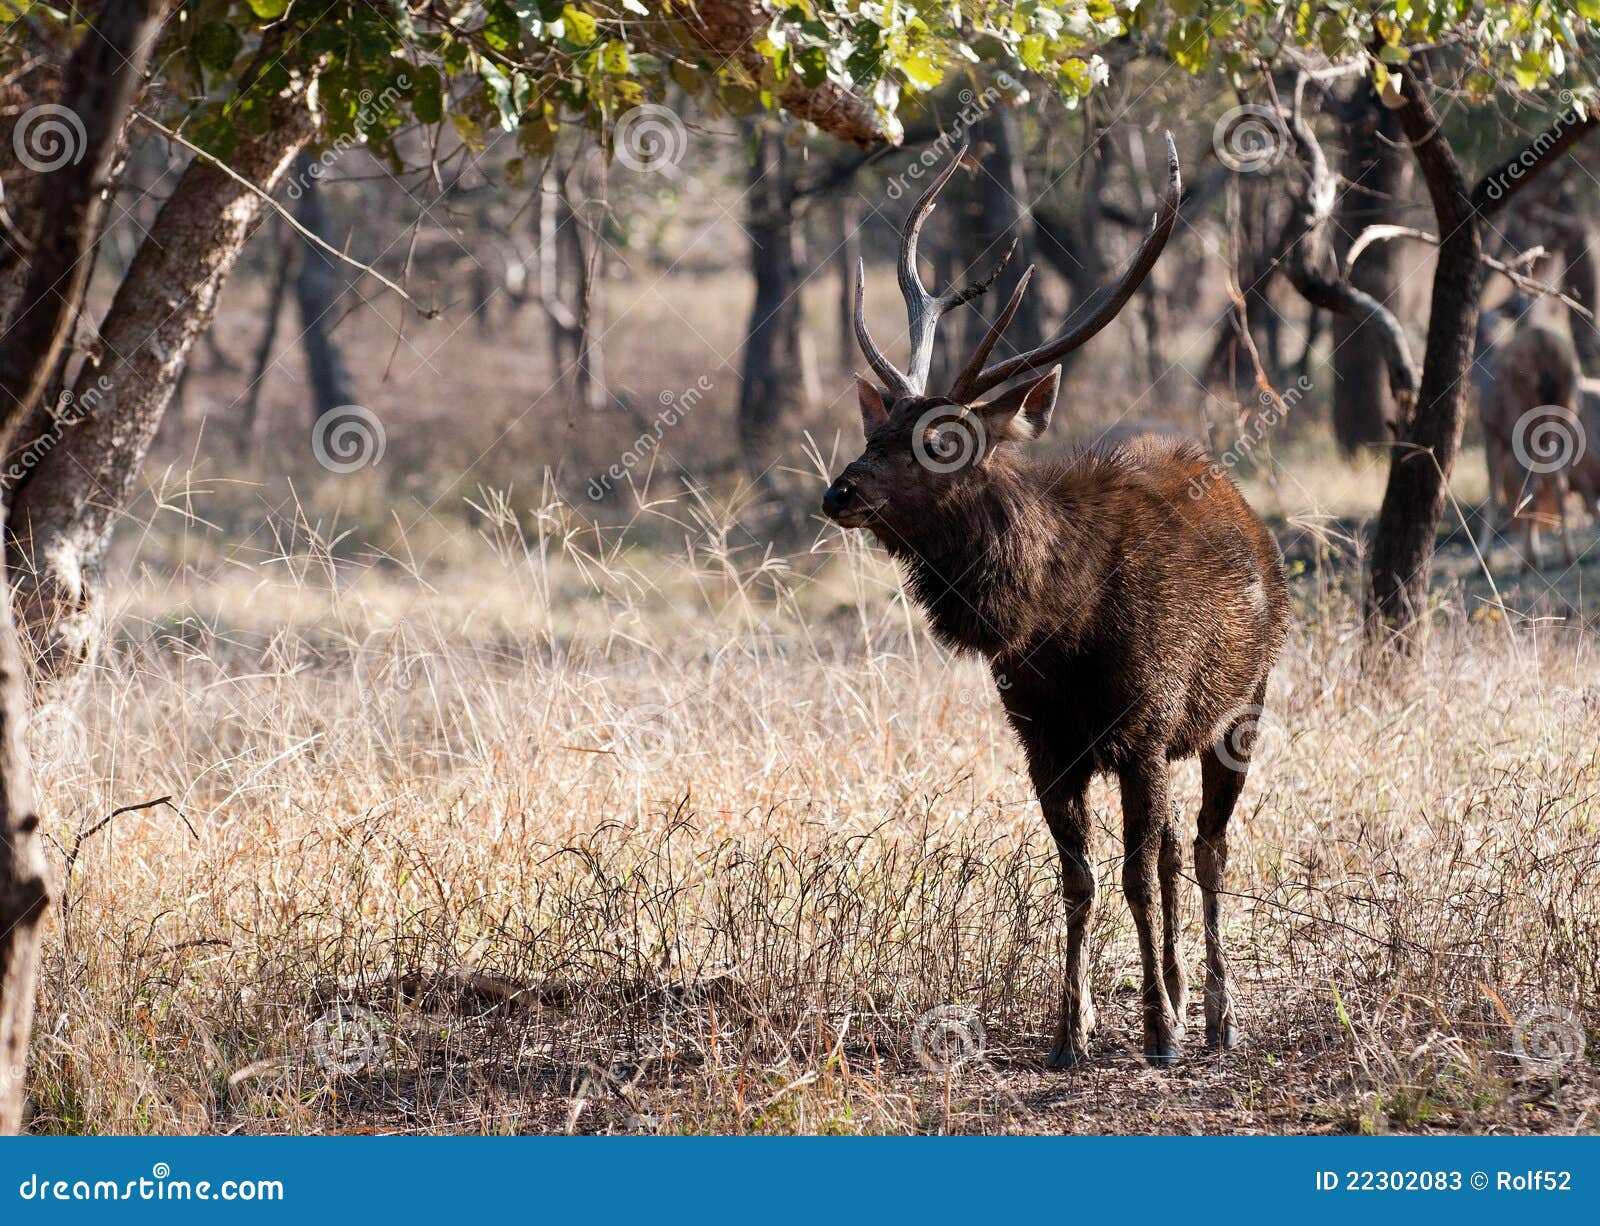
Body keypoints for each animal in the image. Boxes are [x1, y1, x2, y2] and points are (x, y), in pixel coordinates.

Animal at [822, 139, 1289, 1068]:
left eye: (943, 439)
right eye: (873, 428)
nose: (839, 491)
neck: (1059, 626)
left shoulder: (1145, 719)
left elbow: (1135, 875)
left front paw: (1159, 1032)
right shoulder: (1043, 739)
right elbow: (1079, 877)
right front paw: (1071, 1029)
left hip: (1239, 708)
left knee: (1208, 849)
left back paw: (1216, 1014)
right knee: (1177, 848)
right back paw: (1181, 991)